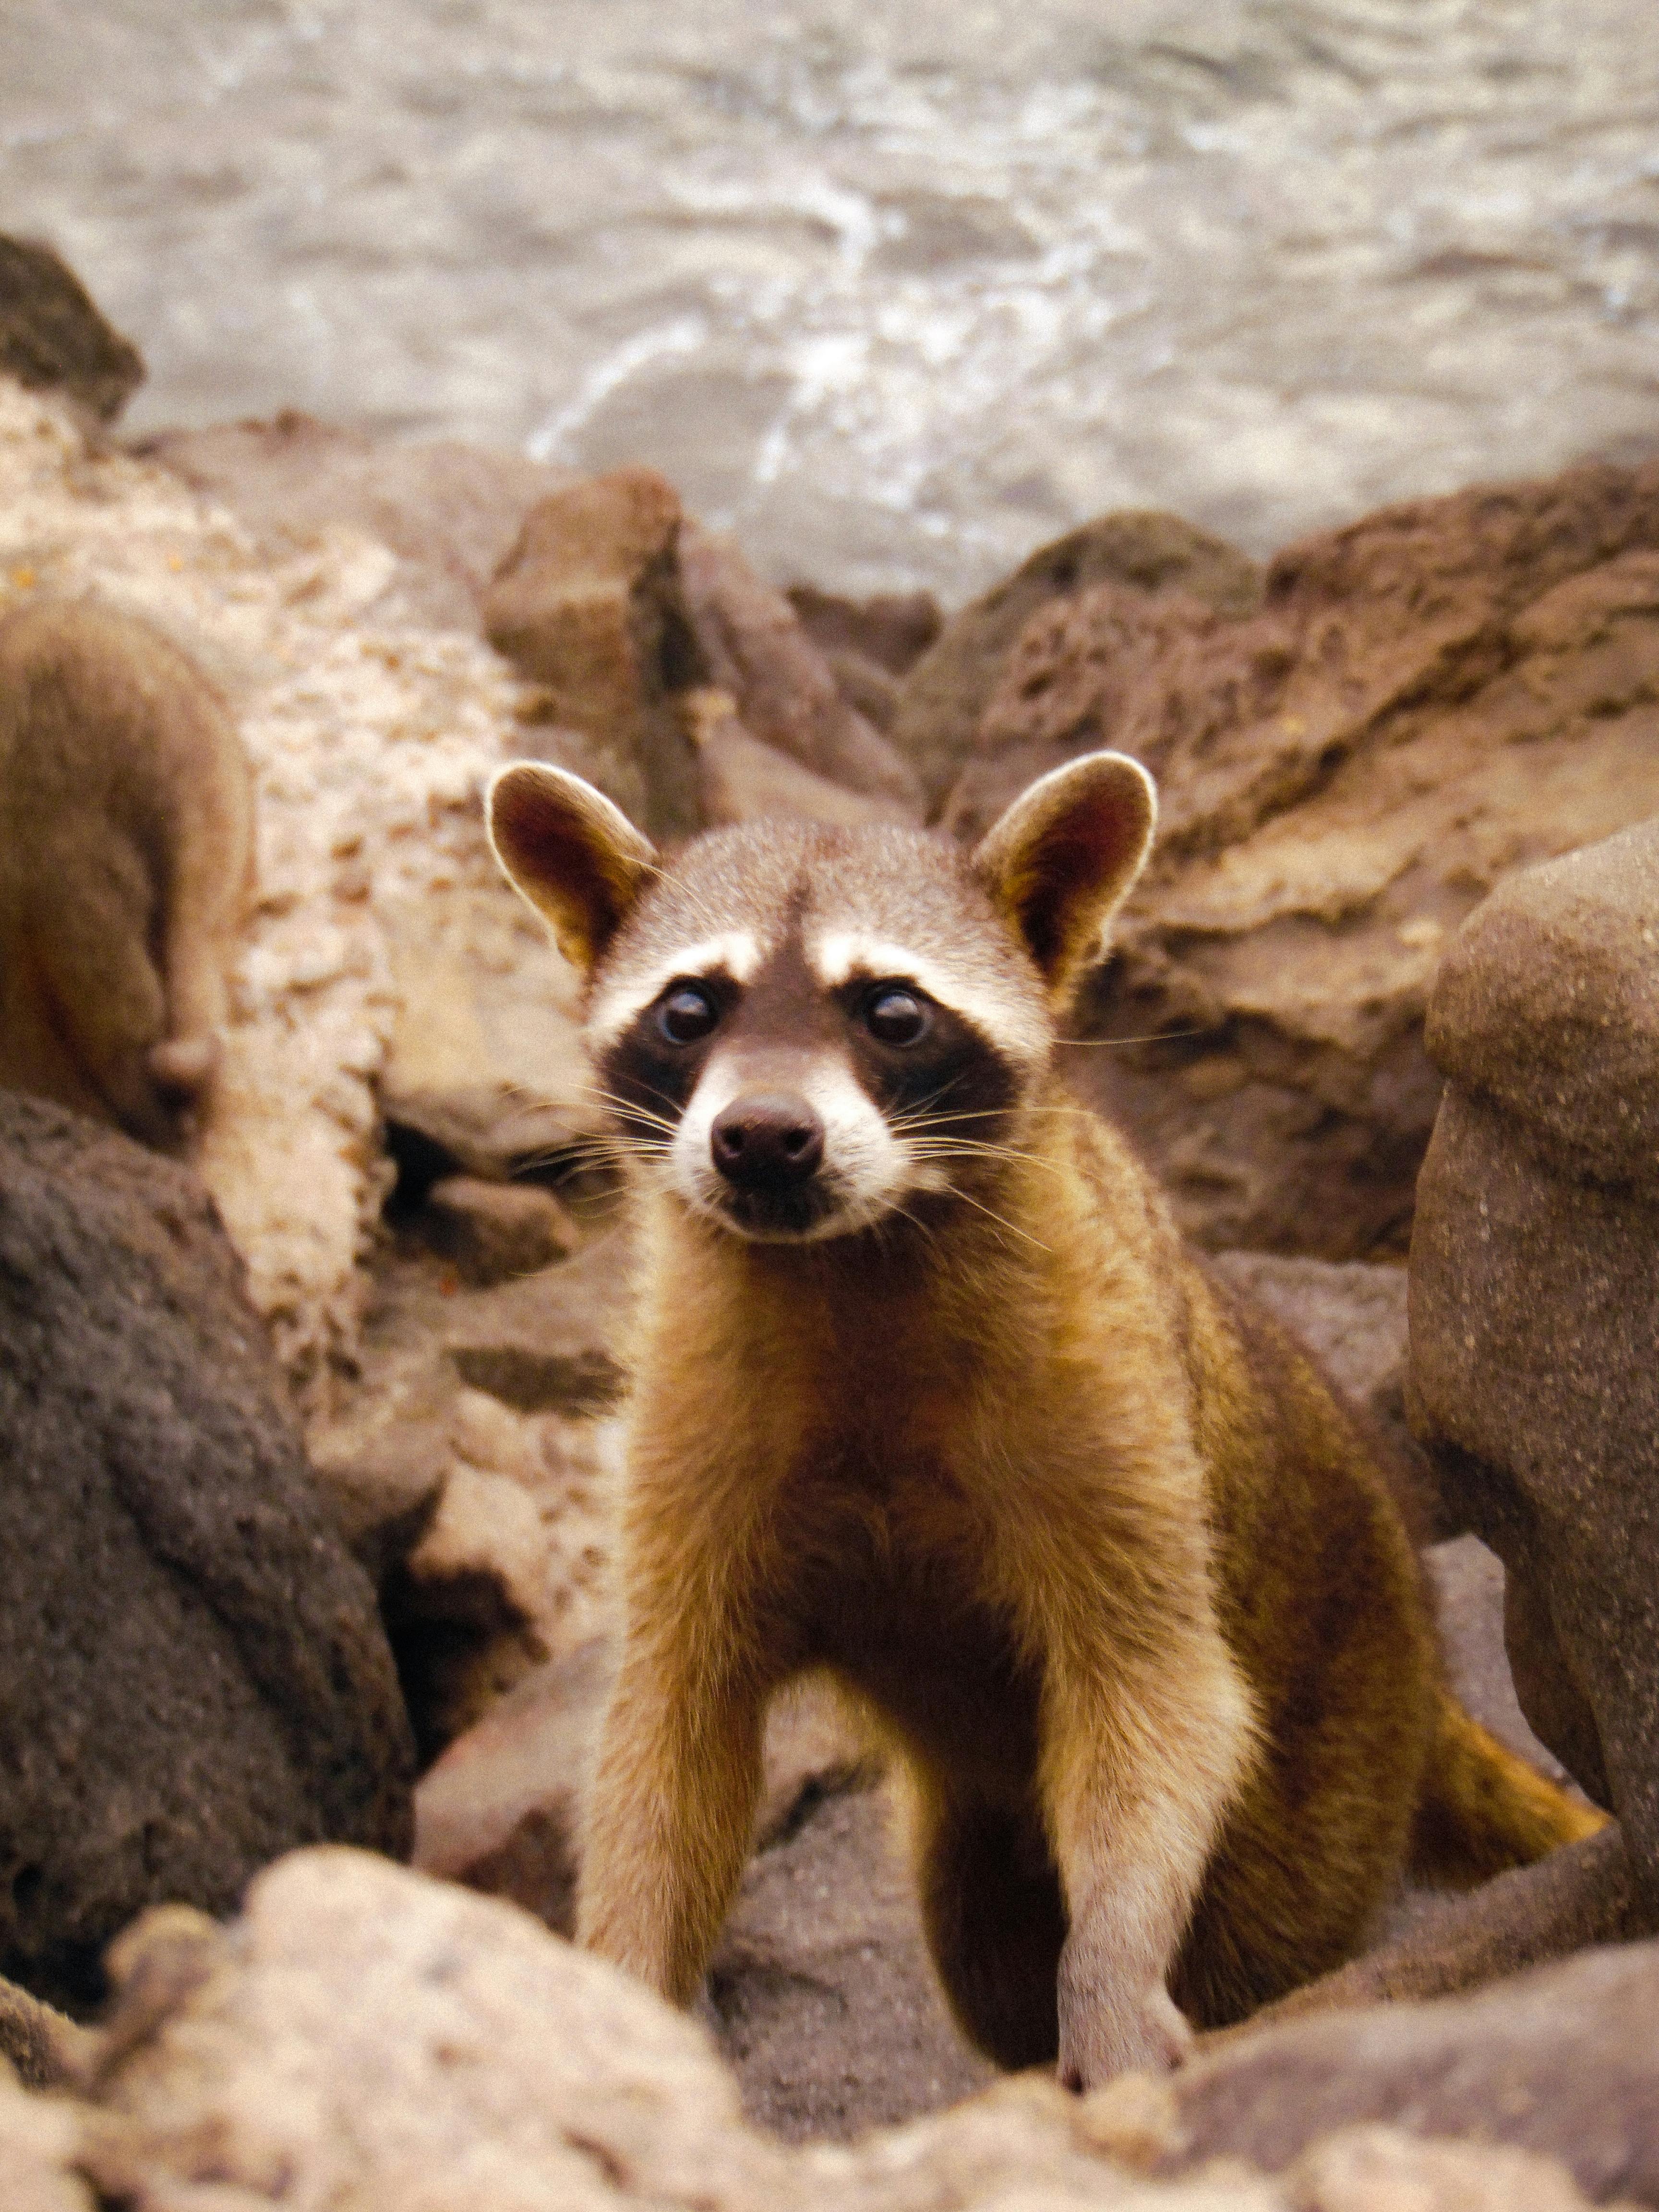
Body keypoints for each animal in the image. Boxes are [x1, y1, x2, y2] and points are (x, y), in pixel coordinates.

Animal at [487, 748, 1602, 2087]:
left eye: (893, 1013)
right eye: (689, 1011)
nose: (762, 1138)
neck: (845, 1264)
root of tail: (1430, 1680)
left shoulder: (1108, 1396)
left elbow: (1155, 1688)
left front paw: (1111, 1968)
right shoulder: (687, 1431)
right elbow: (670, 1741)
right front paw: (618, 1989)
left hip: (1329, 1754)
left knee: (1260, 1913)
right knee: (978, 1943)